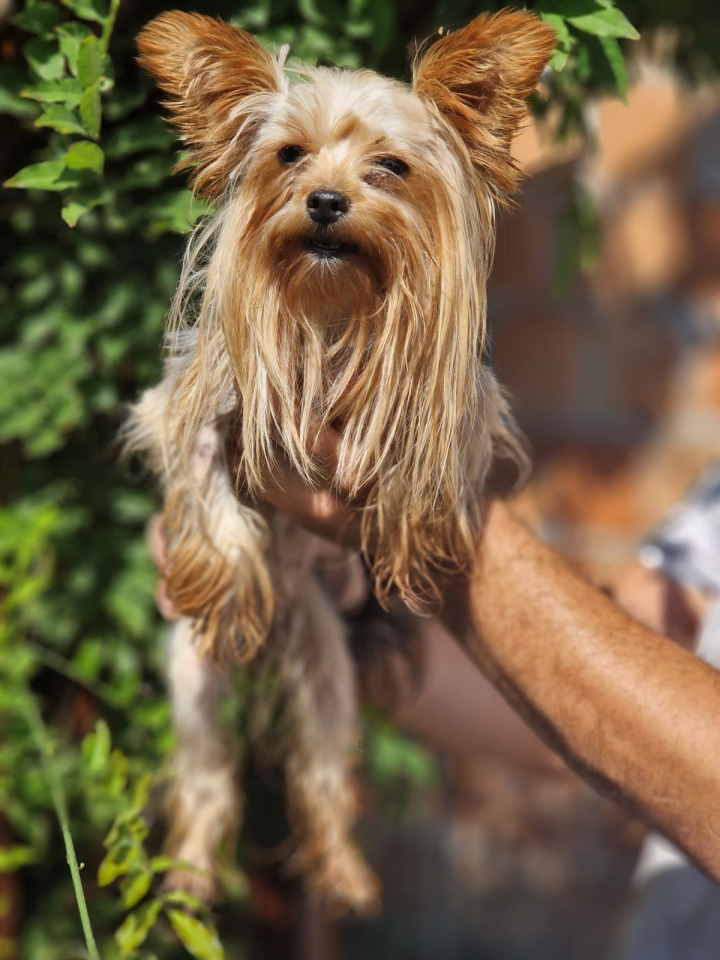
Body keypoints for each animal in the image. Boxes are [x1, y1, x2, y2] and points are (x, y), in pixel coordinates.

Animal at [126, 7, 556, 908]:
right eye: (289, 155)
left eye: (389, 166)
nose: (325, 200)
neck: (327, 309)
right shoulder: (191, 407)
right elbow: (204, 485)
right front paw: (223, 581)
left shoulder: (456, 406)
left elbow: (433, 461)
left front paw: (411, 532)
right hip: (194, 682)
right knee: (207, 773)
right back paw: (188, 877)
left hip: (329, 668)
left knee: (320, 769)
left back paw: (346, 875)